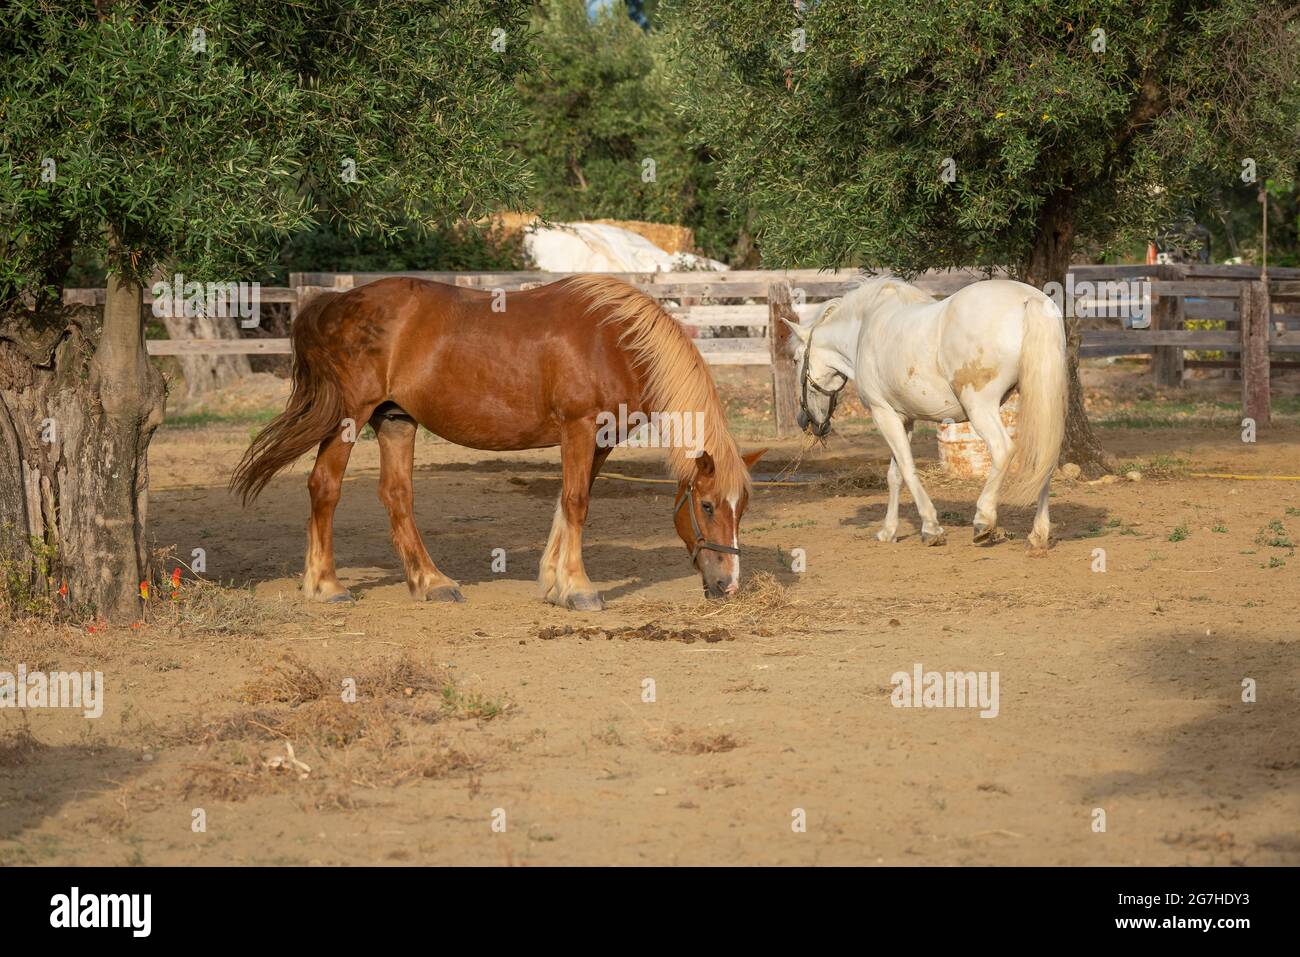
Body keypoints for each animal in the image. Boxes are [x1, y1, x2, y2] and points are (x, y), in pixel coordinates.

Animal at [230, 275, 765, 610]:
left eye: (742, 508)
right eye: (708, 505)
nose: (728, 585)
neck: (616, 342)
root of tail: (332, 302)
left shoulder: (600, 441)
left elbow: (566, 502)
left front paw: (554, 583)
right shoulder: (579, 429)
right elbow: (576, 503)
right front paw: (579, 589)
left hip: (396, 420)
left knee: (397, 496)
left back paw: (432, 583)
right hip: (350, 416)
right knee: (325, 486)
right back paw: (326, 586)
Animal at [786, 276, 1067, 551]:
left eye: (796, 359)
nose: (804, 420)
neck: (865, 327)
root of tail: (1028, 299)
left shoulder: (884, 415)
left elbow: (907, 468)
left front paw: (930, 528)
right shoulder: (905, 420)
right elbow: (894, 475)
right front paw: (888, 531)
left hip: (980, 407)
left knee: (1003, 450)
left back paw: (983, 521)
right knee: (1044, 456)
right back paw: (1039, 534)